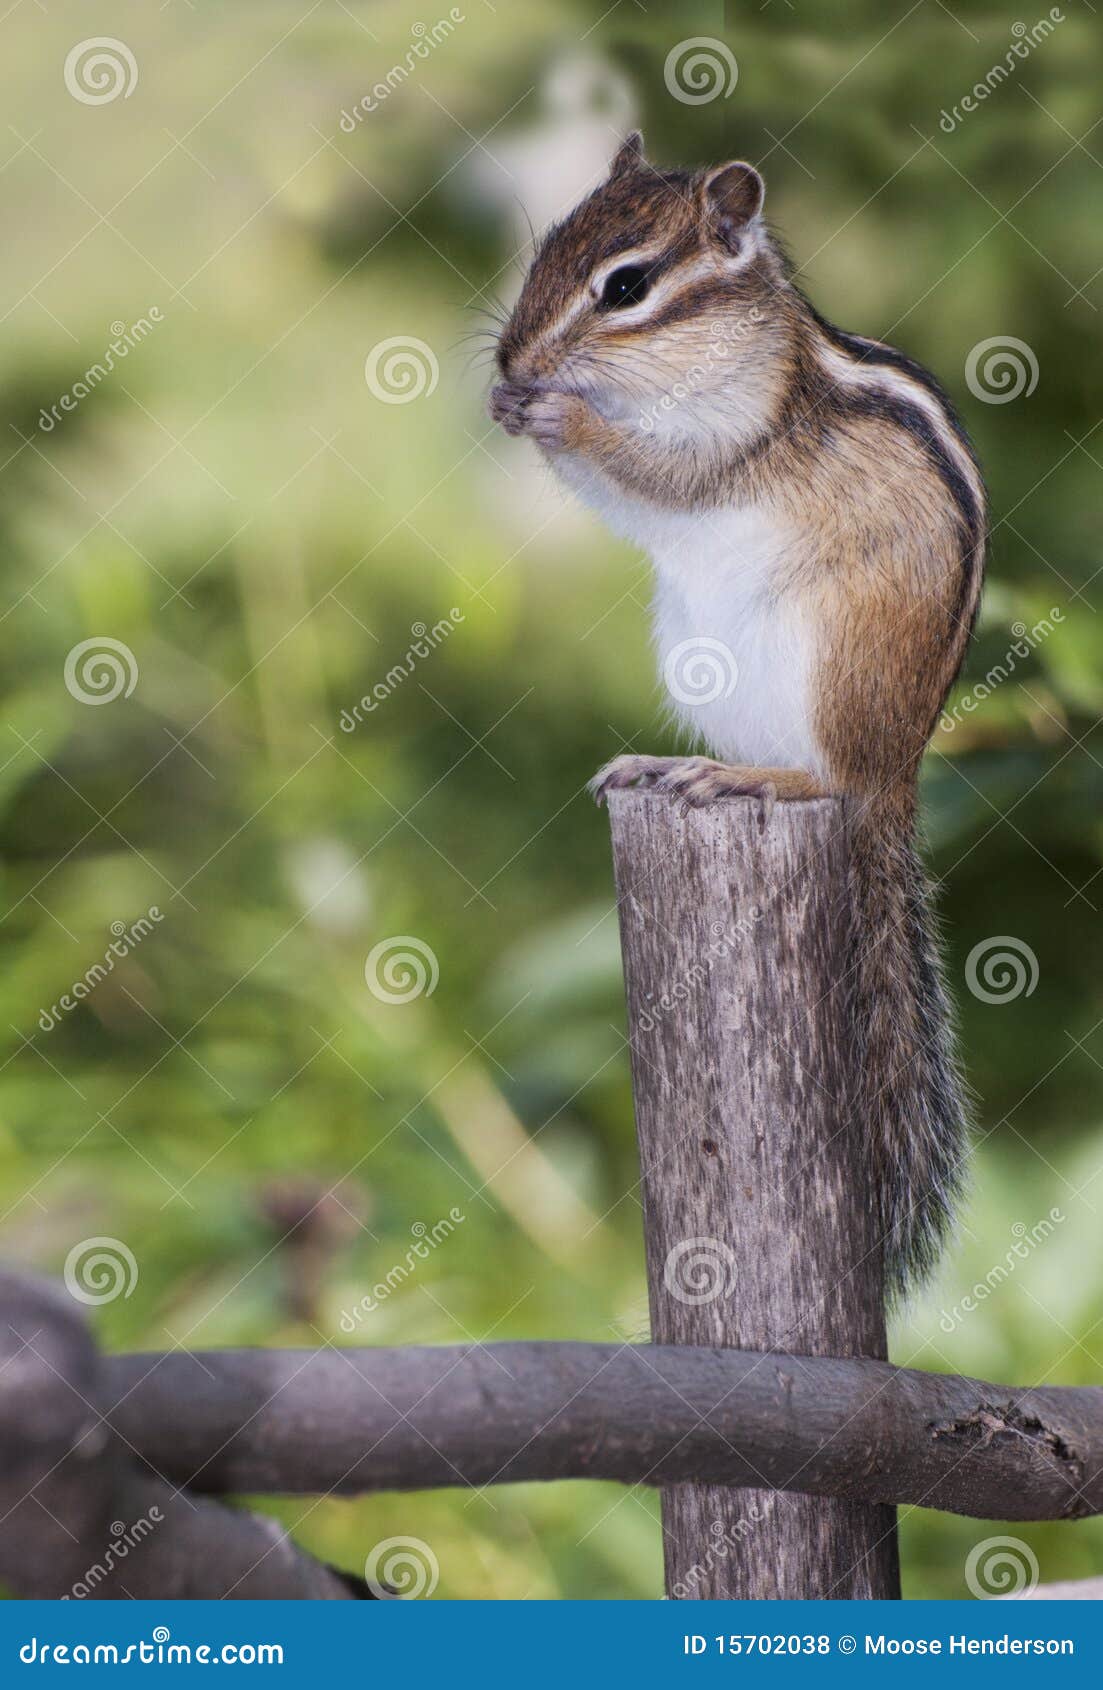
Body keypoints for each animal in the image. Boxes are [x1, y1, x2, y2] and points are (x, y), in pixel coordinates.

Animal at [488, 132, 987, 1297]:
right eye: (545, 248)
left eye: (625, 287)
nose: (511, 367)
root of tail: (901, 770)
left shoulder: (737, 431)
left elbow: (664, 475)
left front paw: (563, 419)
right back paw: (662, 769)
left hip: (828, 662)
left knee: (827, 776)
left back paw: (756, 776)